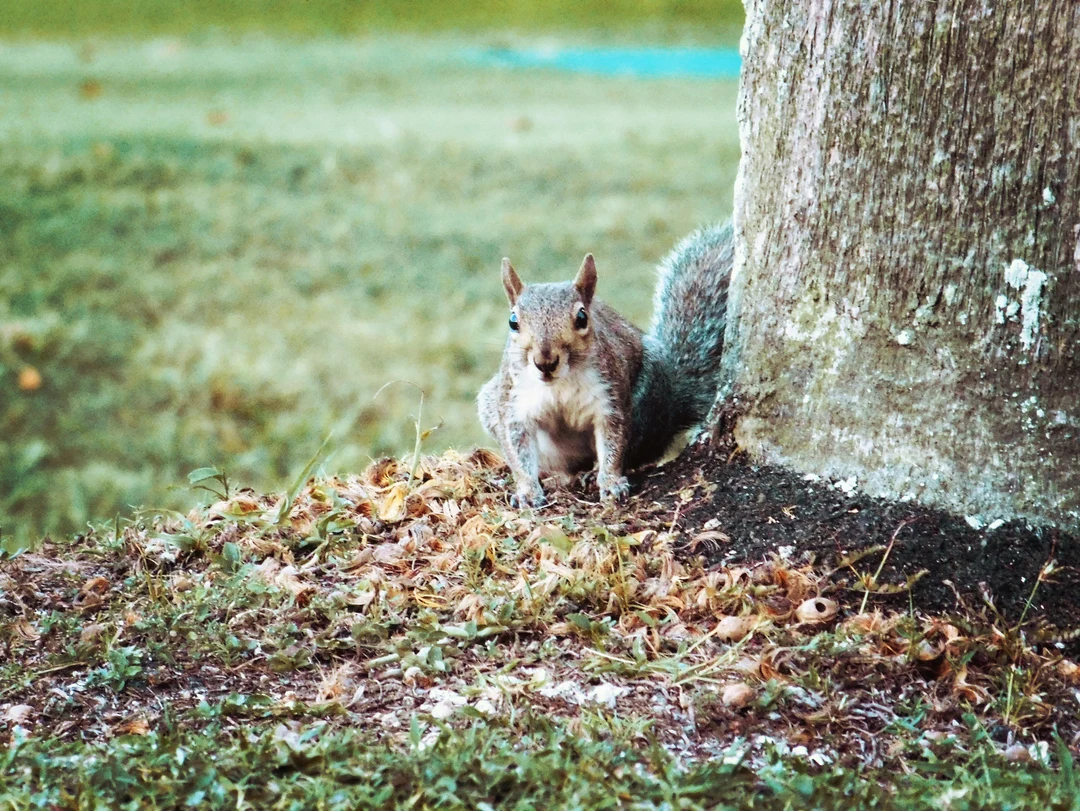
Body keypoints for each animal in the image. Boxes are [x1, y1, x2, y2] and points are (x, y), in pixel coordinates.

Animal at [478, 222, 733, 507]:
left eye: (582, 317)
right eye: (513, 321)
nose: (545, 362)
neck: (560, 384)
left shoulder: (610, 398)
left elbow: (613, 442)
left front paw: (611, 482)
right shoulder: (514, 404)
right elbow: (517, 450)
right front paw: (527, 491)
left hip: (647, 397)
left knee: (635, 453)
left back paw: (593, 472)